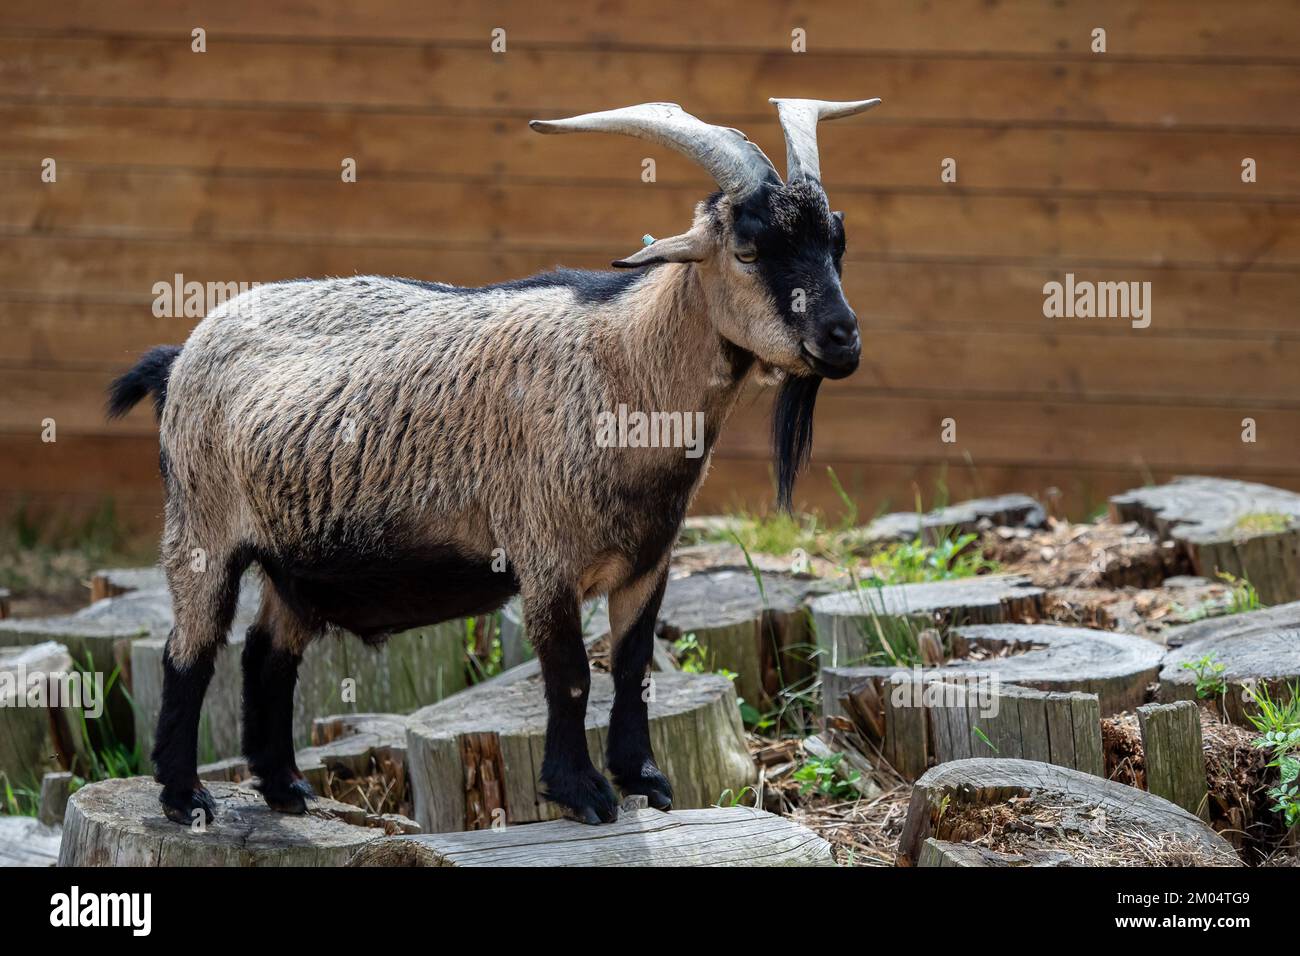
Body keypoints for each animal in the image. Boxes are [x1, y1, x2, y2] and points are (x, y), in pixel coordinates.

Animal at [108, 97, 877, 826]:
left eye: (837, 240)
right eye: (748, 251)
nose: (842, 338)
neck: (621, 368)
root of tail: (178, 357)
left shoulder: (649, 559)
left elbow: (632, 668)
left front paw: (646, 780)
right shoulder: (544, 553)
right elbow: (570, 673)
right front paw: (582, 793)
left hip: (295, 564)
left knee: (267, 654)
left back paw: (286, 788)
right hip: (201, 526)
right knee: (190, 652)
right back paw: (184, 797)